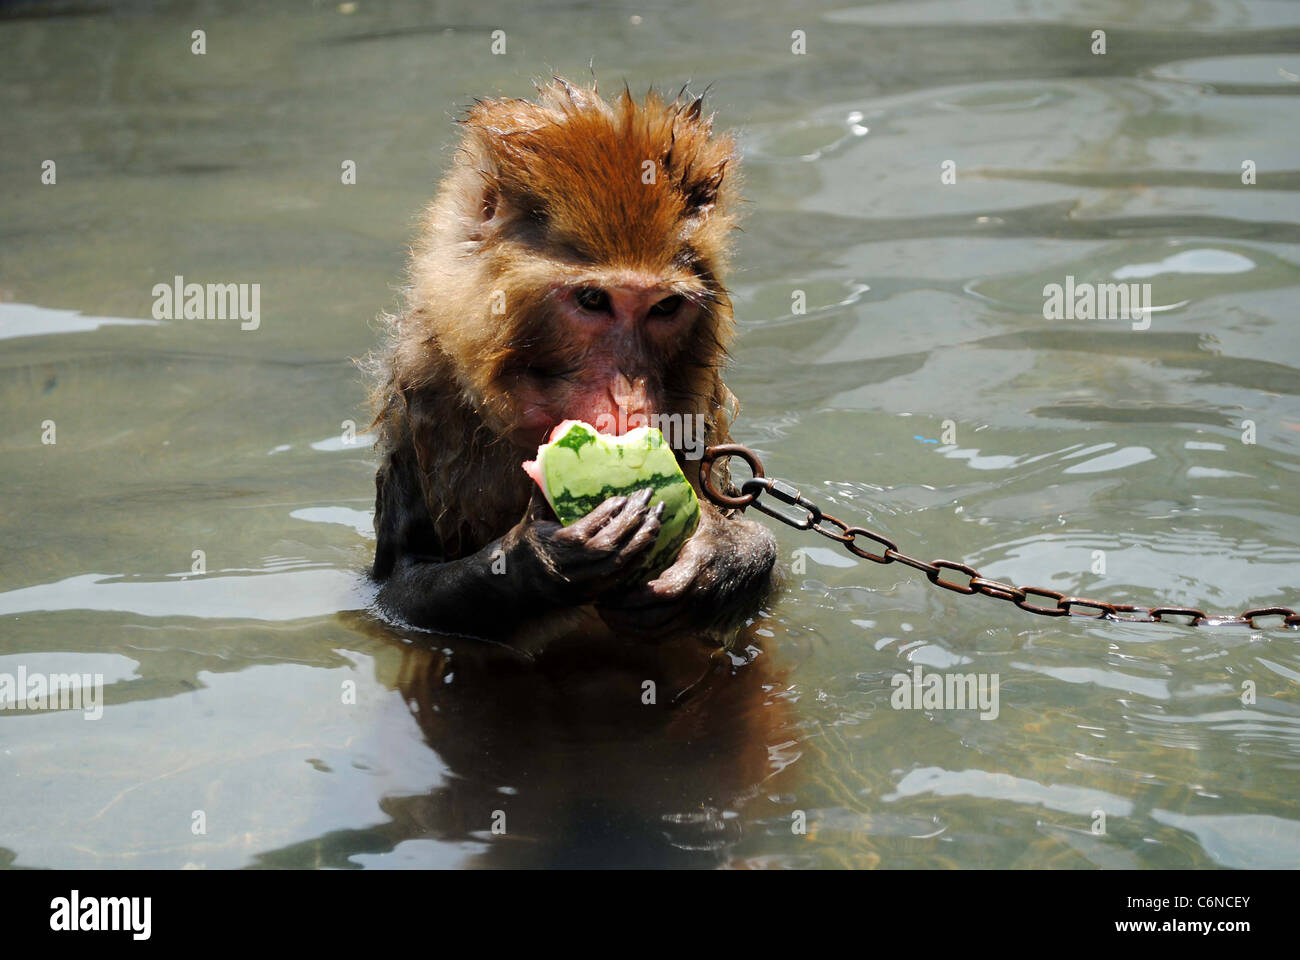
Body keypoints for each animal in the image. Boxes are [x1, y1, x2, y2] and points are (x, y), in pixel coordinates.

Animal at [365, 78, 778, 645]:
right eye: (592, 300)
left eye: (665, 307)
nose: (629, 402)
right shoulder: (419, 392)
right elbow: (399, 589)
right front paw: (539, 559)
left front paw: (715, 558)